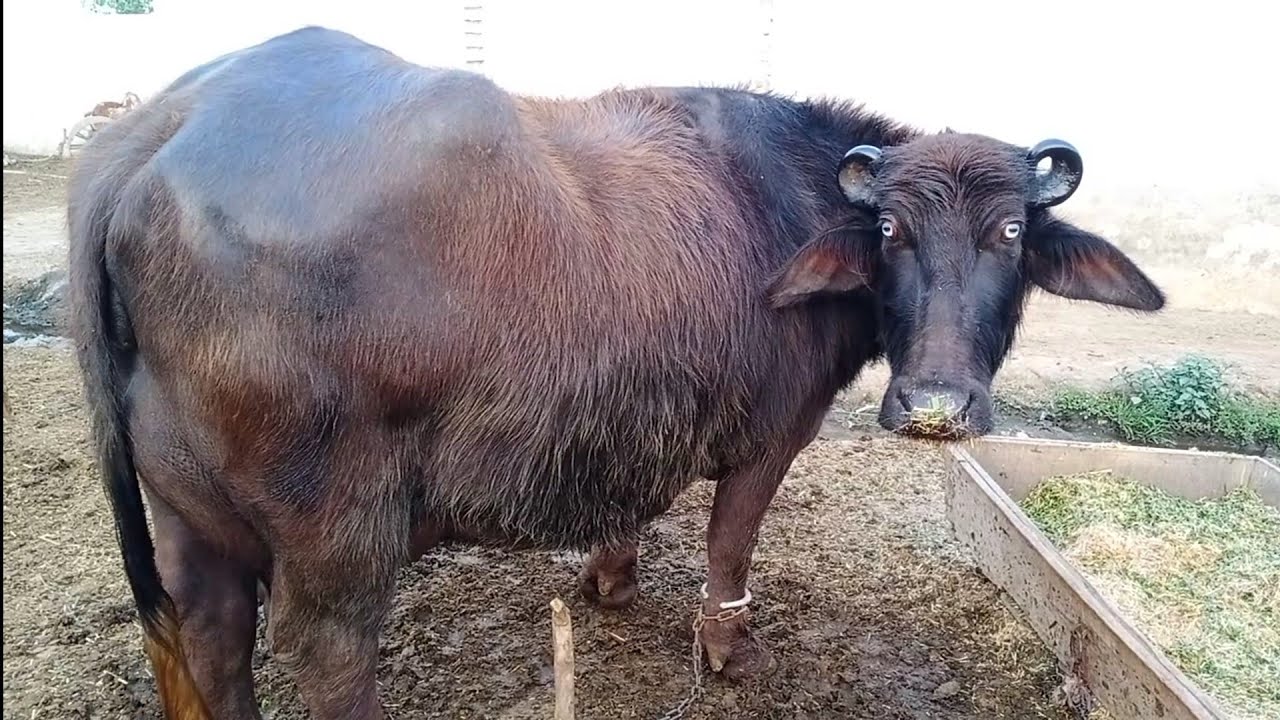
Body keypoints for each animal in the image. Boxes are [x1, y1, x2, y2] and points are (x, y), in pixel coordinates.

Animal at [67, 26, 1164, 719]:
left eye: (1011, 233)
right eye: (889, 229)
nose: (936, 403)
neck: (792, 200)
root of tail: (156, 132)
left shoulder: (624, 413)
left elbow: (626, 500)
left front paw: (608, 579)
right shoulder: (773, 433)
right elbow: (729, 547)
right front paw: (727, 651)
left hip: (186, 512)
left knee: (210, 635)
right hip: (337, 530)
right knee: (328, 651)